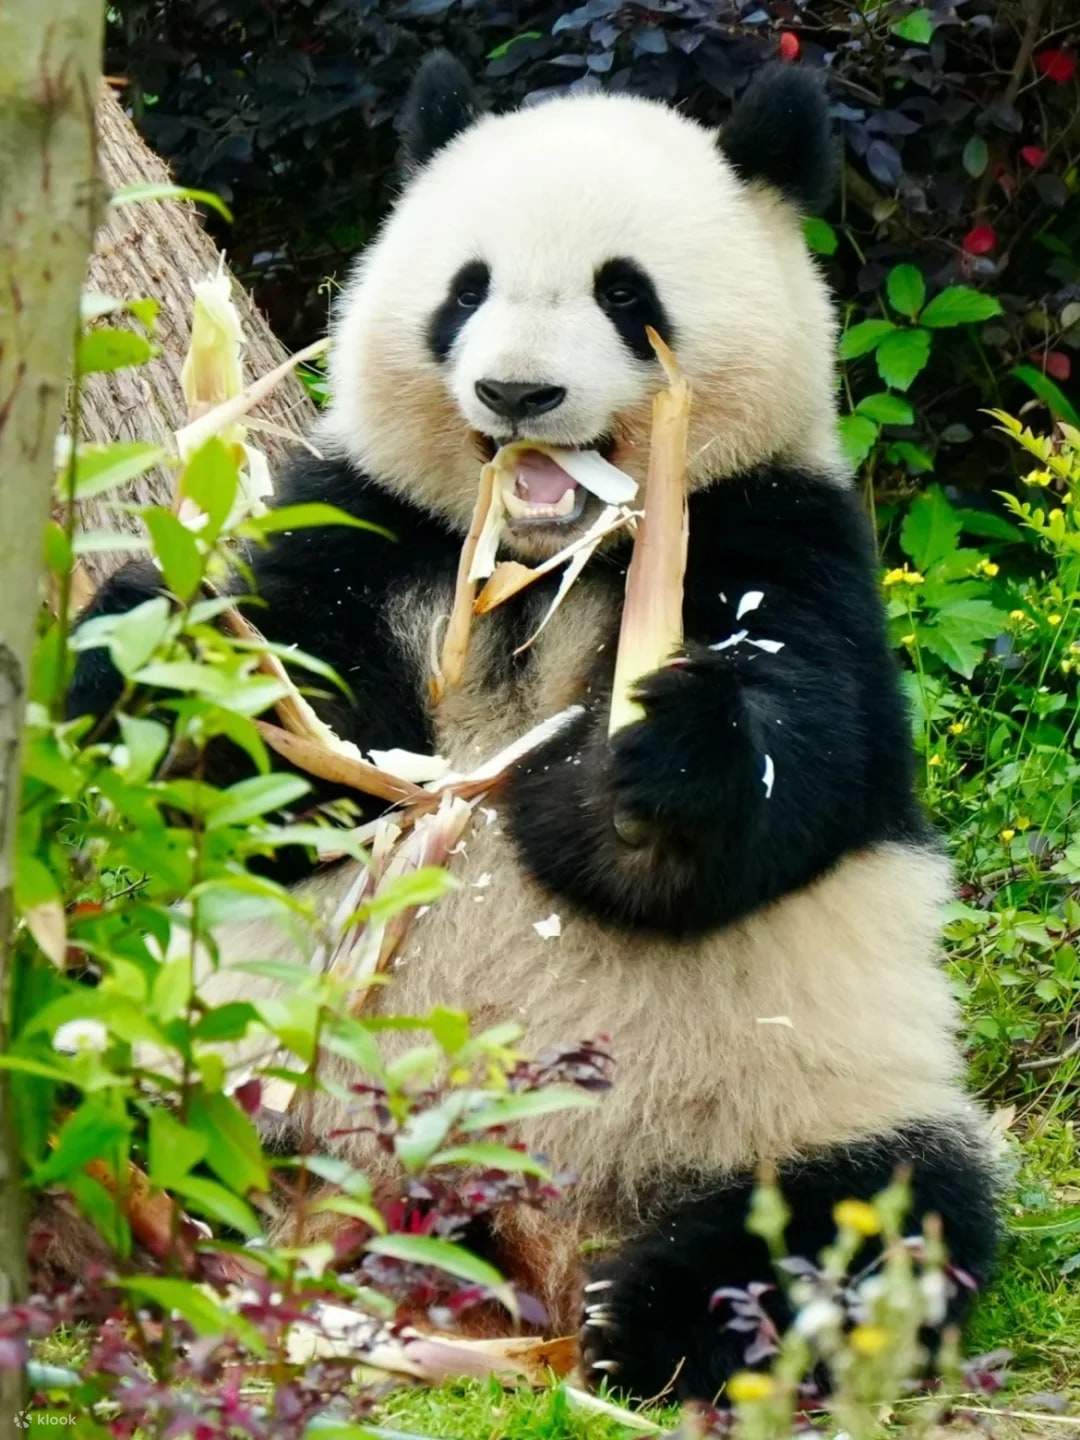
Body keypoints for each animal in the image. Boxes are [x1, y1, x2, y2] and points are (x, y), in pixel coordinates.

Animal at [72, 53, 1000, 1401]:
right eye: (468, 289)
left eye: (626, 293)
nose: (519, 392)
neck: (530, 561)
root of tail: (517, 1222)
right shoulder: (368, 528)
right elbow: (288, 787)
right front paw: (164, 645)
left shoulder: (784, 532)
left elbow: (805, 764)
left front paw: (650, 769)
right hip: (217, 1057)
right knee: (109, 1101)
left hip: (797, 1106)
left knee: (877, 1220)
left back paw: (654, 1319)